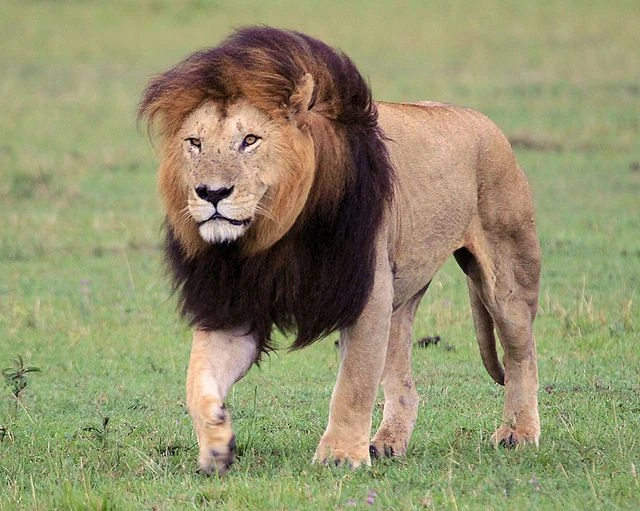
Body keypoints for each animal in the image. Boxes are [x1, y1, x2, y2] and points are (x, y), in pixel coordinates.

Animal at [139, 26, 541, 475]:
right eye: (194, 142)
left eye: (250, 140)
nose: (210, 193)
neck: (272, 235)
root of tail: (481, 119)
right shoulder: (233, 304)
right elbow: (197, 380)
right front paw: (216, 442)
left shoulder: (366, 292)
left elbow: (354, 383)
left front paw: (340, 456)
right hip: (402, 297)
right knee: (404, 379)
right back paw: (387, 443)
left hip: (507, 274)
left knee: (522, 354)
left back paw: (518, 434)